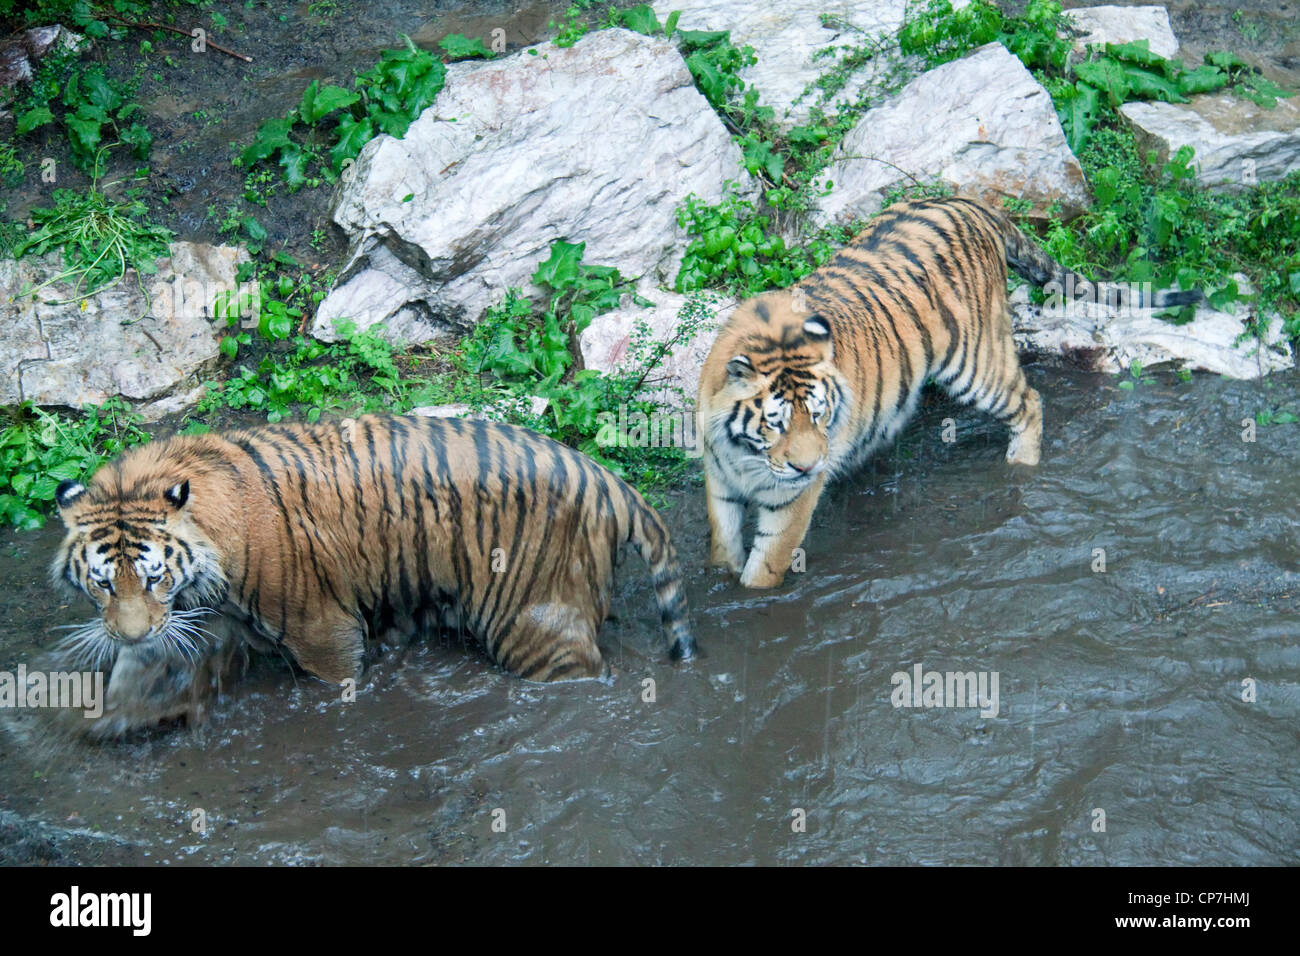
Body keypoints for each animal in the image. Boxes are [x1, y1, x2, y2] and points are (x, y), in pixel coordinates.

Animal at [49, 414, 695, 737]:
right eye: (103, 582)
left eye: (154, 576)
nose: (131, 630)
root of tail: (606, 477)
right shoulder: (189, 620)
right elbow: (144, 669)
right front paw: (111, 725)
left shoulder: (321, 629)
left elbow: (336, 682)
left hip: (533, 619)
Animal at [697, 195, 1200, 589]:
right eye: (776, 423)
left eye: (818, 416)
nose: (809, 465)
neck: (746, 454)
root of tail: (969, 202)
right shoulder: (720, 480)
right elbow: (722, 545)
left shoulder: (790, 498)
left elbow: (765, 566)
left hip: (976, 363)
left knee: (1029, 402)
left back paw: (1021, 465)